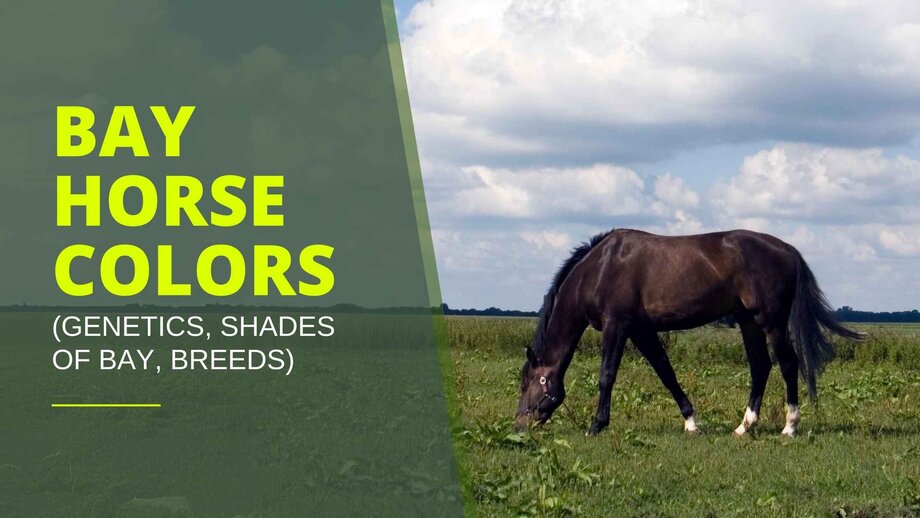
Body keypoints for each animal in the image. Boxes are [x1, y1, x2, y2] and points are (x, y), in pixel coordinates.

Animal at [514, 228, 862, 436]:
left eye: (528, 382)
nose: (520, 423)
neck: (601, 267)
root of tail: (787, 249)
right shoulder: (641, 330)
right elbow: (666, 373)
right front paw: (690, 420)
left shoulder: (618, 325)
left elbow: (607, 375)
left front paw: (597, 425)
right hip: (747, 321)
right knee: (760, 366)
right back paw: (744, 426)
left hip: (770, 321)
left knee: (788, 364)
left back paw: (789, 426)